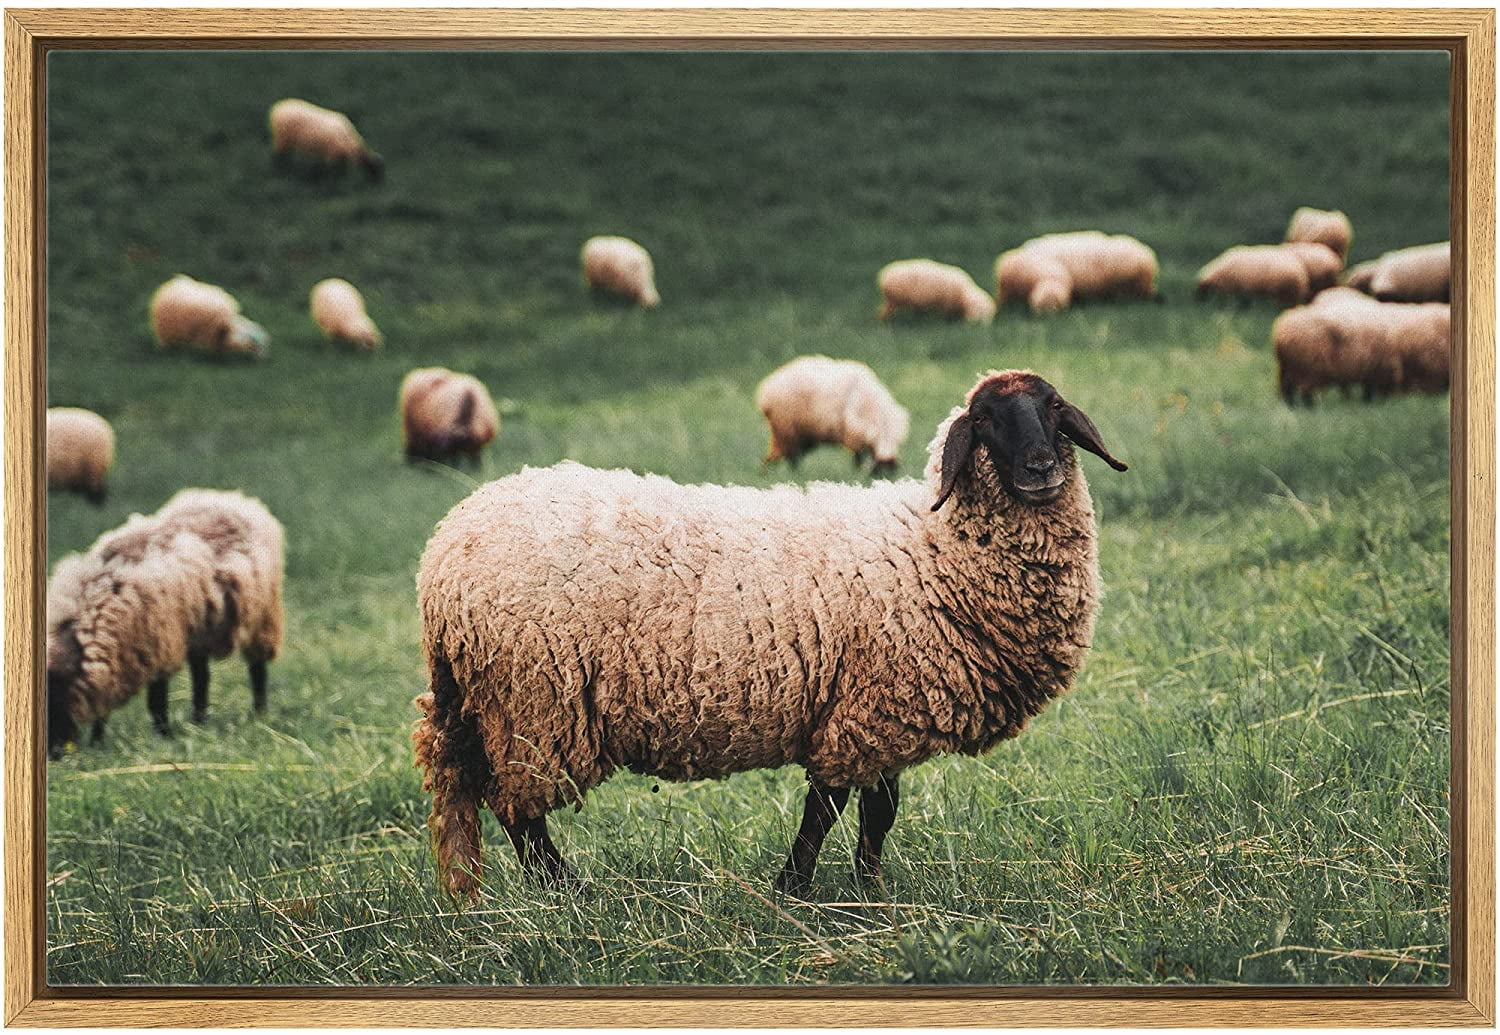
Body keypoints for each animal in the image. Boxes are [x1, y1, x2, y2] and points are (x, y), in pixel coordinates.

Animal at [46, 489, 284, 757]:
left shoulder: (157, 647)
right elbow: (104, 706)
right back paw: (199, 720)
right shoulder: (122, 657)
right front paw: (97, 743)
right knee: (201, 676)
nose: (54, 755)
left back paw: (259, 714)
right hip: (198, 632)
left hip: (263, 616)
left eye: (55, 703)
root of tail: (231, 497)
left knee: (257, 669)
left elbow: (156, 702)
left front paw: (163, 736)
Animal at [413, 369, 1128, 897]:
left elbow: (877, 812)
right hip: (534, 701)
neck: (931, 546)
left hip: (488, 702)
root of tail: (443, 550)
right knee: (518, 808)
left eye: (1054, 406)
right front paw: (796, 888)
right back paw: (568, 892)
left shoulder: (875, 711)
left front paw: (868, 891)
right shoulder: (868, 710)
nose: (1040, 469)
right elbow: (831, 808)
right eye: (982, 420)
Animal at [755, 356, 910, 475]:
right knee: (789, 457)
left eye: (890, 473)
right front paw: (856, 474)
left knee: (782, 455)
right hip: (787, 430)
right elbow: (858, 457)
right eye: (880, 471)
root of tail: (766, 392)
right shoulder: (854, 435)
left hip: (799, 435)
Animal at [1272, 288, 1450, 405]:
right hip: (1310, 368)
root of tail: (1282, 329)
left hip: (1287, 369)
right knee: (1306, 394)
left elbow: (1369, 392)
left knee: (1287, 390)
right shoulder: (1387, 370)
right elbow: (1380, 394)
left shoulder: (1375, 369)